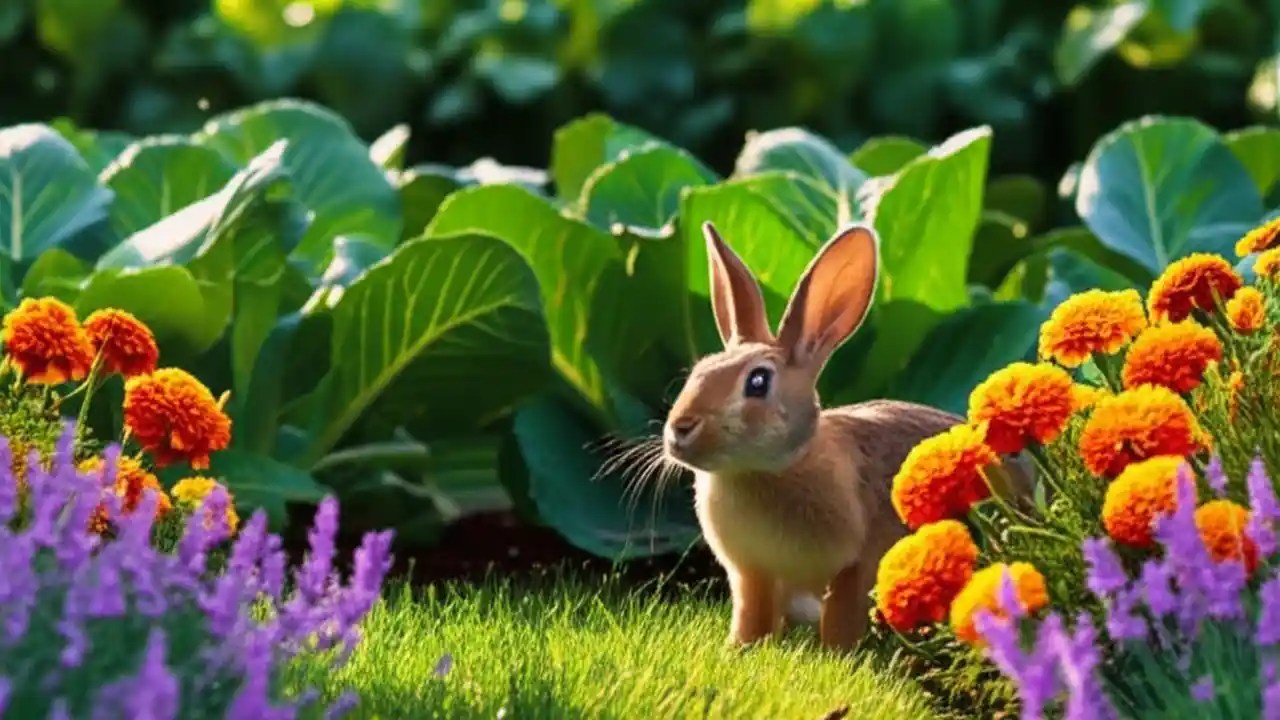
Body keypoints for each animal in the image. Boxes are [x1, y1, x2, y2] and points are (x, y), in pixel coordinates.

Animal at [660, 221, 1031, 652]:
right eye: (699, 370)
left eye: (757, 382)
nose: (680, 428)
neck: (774, 466)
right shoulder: (753, 574)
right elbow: (751, 615)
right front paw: (738, 649)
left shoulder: (855, 564)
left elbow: (842, 616)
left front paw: (835, 655)